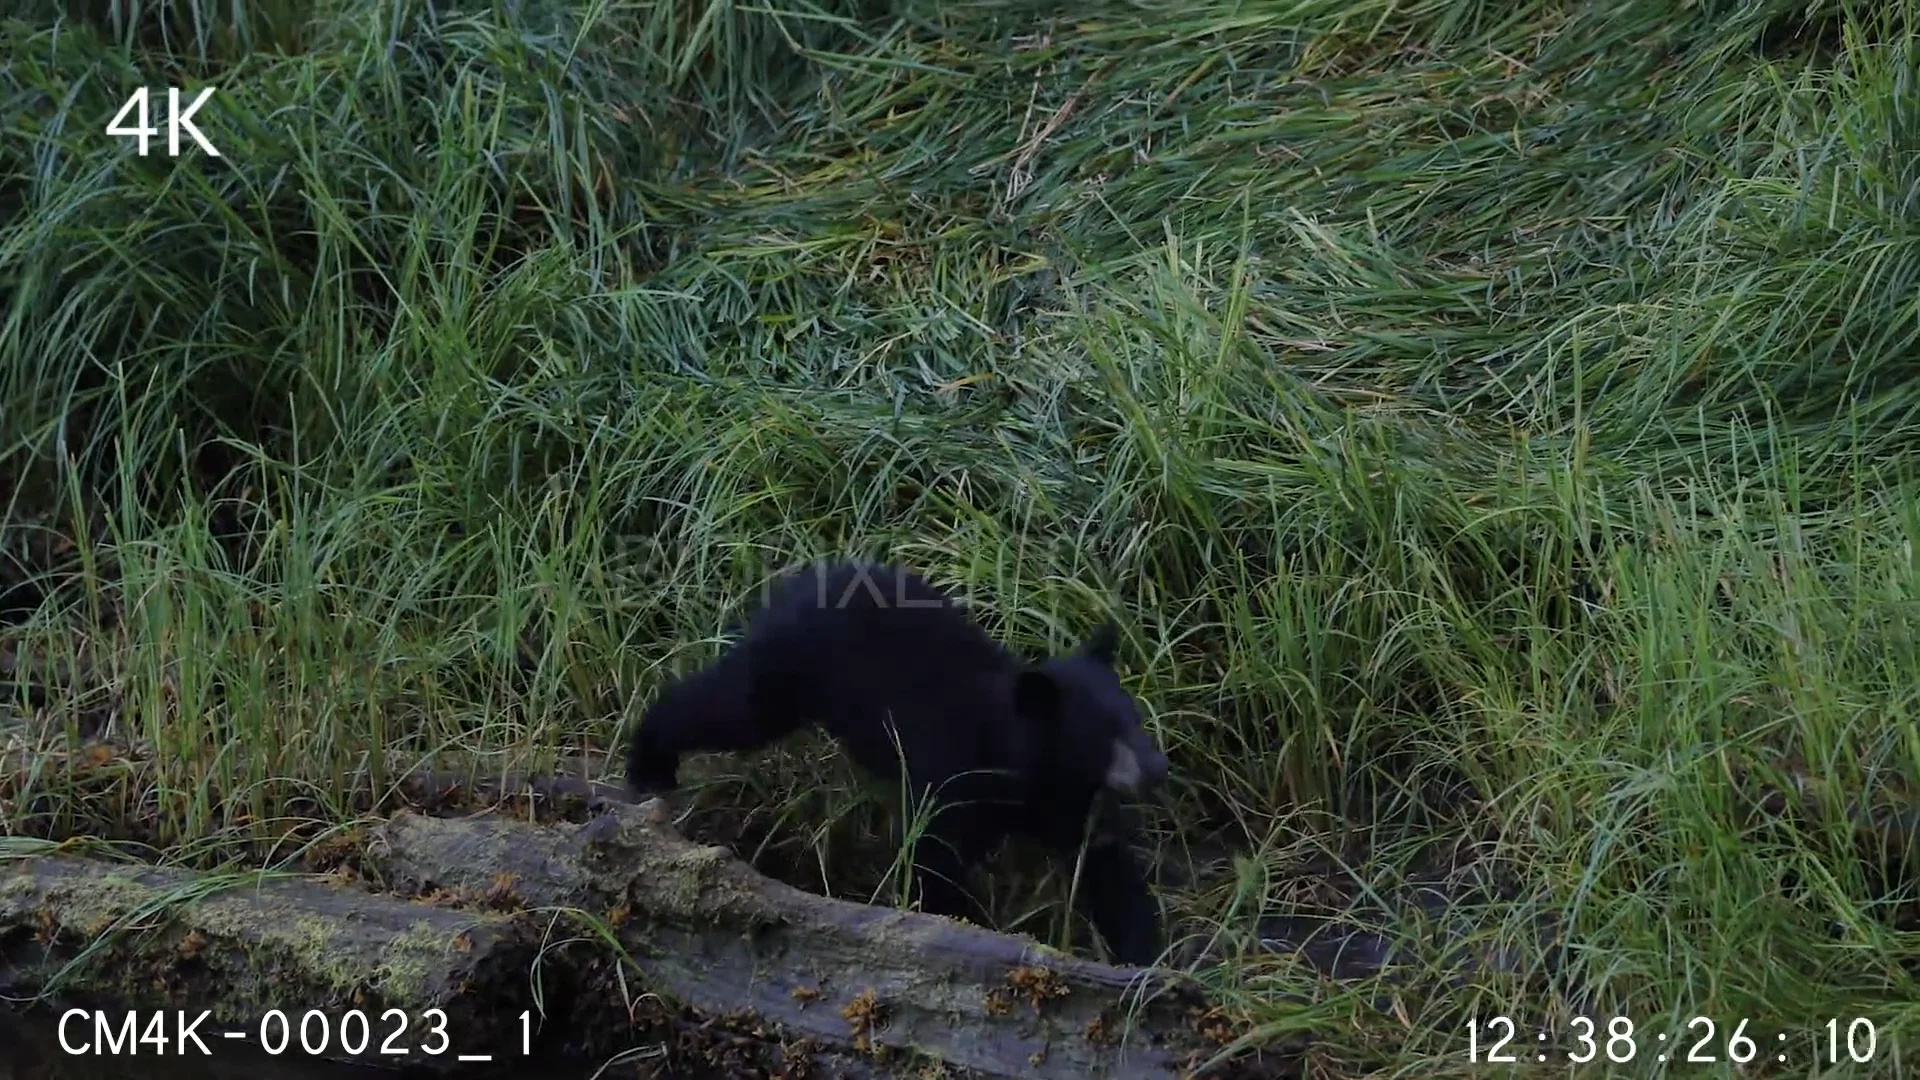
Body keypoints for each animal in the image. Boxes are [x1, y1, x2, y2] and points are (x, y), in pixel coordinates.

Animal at [624, 559, 1171, 965]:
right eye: (1103, 736)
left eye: (1135, 719)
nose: (1158, 770)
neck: (1031, 771)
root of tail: (797, 581)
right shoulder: (956, 778)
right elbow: (933, 859)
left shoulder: (1073, 807)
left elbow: (1106, 868)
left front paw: (1144, 956)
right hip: (783, 676)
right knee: (724, 706)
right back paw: (648, 763)